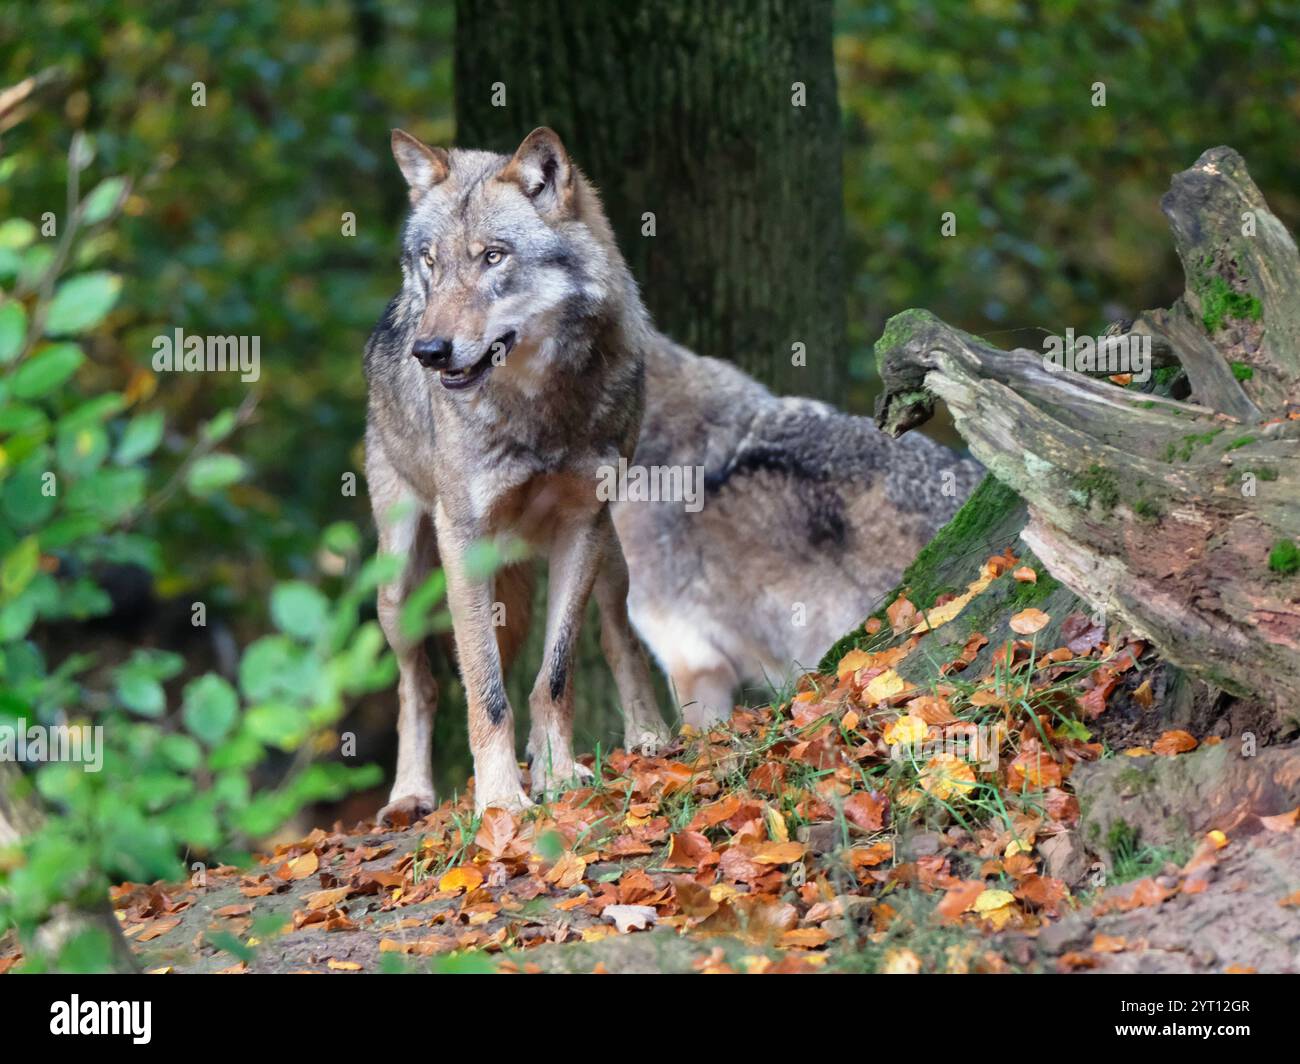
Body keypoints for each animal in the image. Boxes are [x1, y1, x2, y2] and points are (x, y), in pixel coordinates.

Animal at [365, 126, 980, 820]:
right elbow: (485, 688)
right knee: (418, 686)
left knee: (612, 642)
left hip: (605, 563)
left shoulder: (609, 555)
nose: (428, 350)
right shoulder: (467, 539)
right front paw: (501, 801)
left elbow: (555, 676)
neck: (543, 414)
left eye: (494, 257)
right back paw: (410, 795)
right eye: (431, 262)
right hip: (402, 582)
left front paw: (557, 778)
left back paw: (645, 739)